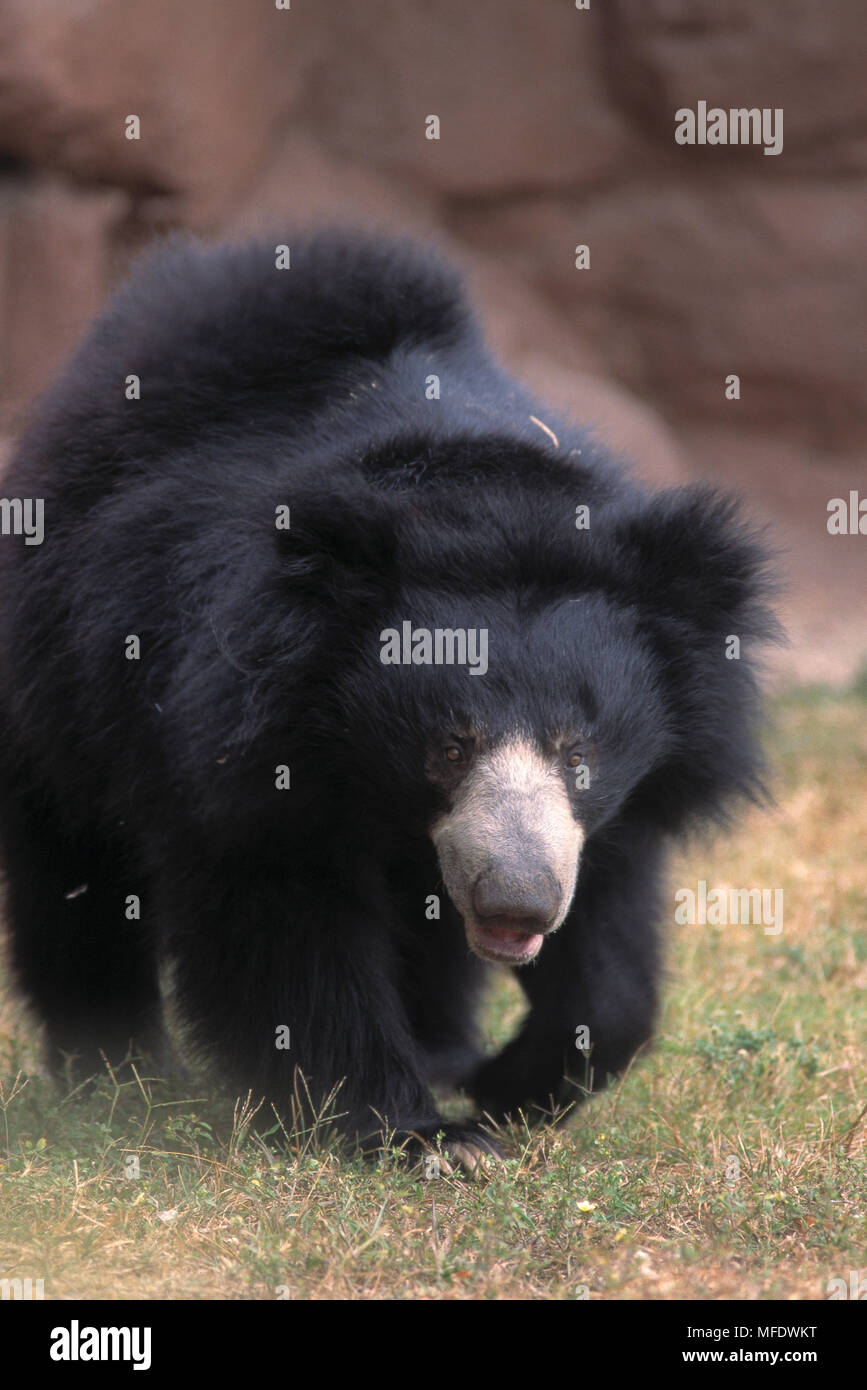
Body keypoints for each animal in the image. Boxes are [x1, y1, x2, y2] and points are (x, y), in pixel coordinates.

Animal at [0, 230, 776, 1171]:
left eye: (577, 753)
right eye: (449, 746)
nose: (517, 903)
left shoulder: (629, 797)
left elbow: (610, 947)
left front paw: (507, 1086)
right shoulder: (235, 742)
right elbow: (284, 930)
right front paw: (419, 1135)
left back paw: (442, 1046)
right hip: (57, 681)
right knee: (72, 870)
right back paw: (116, 1074)